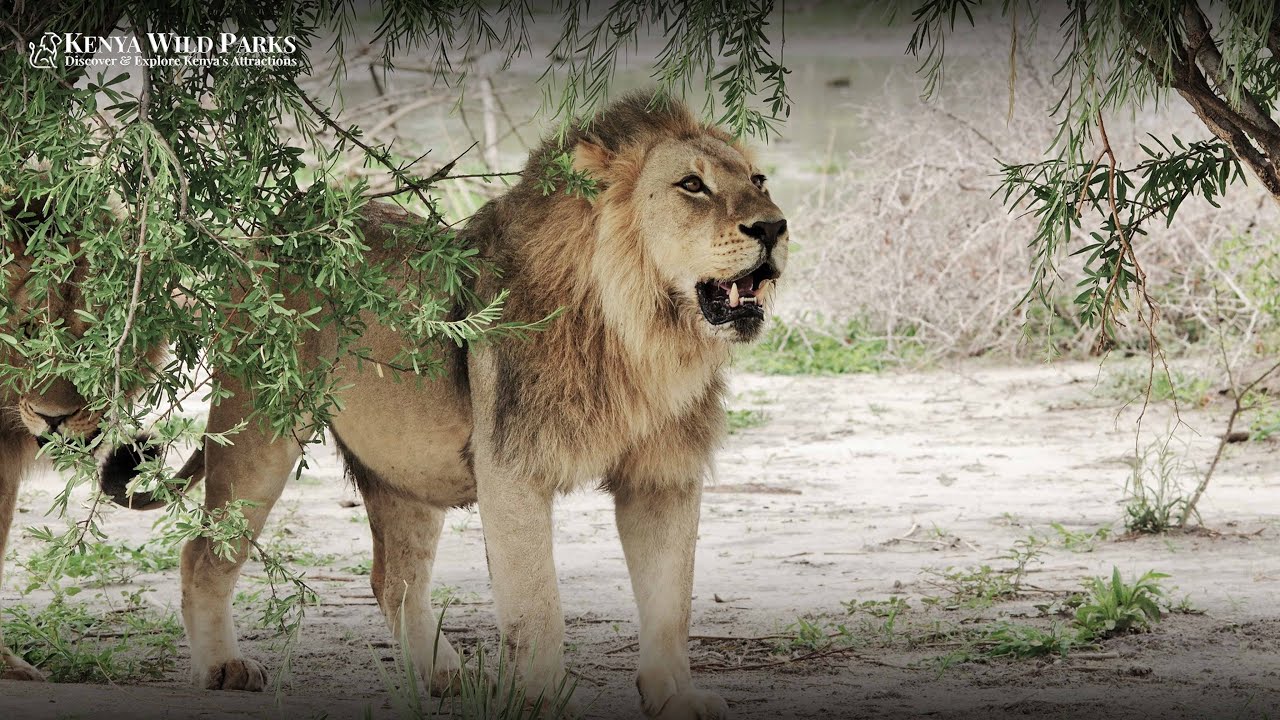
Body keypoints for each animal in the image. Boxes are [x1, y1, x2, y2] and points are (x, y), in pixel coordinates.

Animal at [107, 90, 788, 719]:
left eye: (758, 181)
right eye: (692, 185)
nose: (774, 228)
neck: (645, 335)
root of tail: (264, 236)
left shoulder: (662, 476)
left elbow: (671, 601)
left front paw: (676, 698)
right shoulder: (513, 470)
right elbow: (536, 607)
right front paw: (542, 702)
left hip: (404, 468)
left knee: (394, 581)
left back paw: (444, 675)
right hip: (259, 431)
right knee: (204, 555)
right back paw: (223, 667)